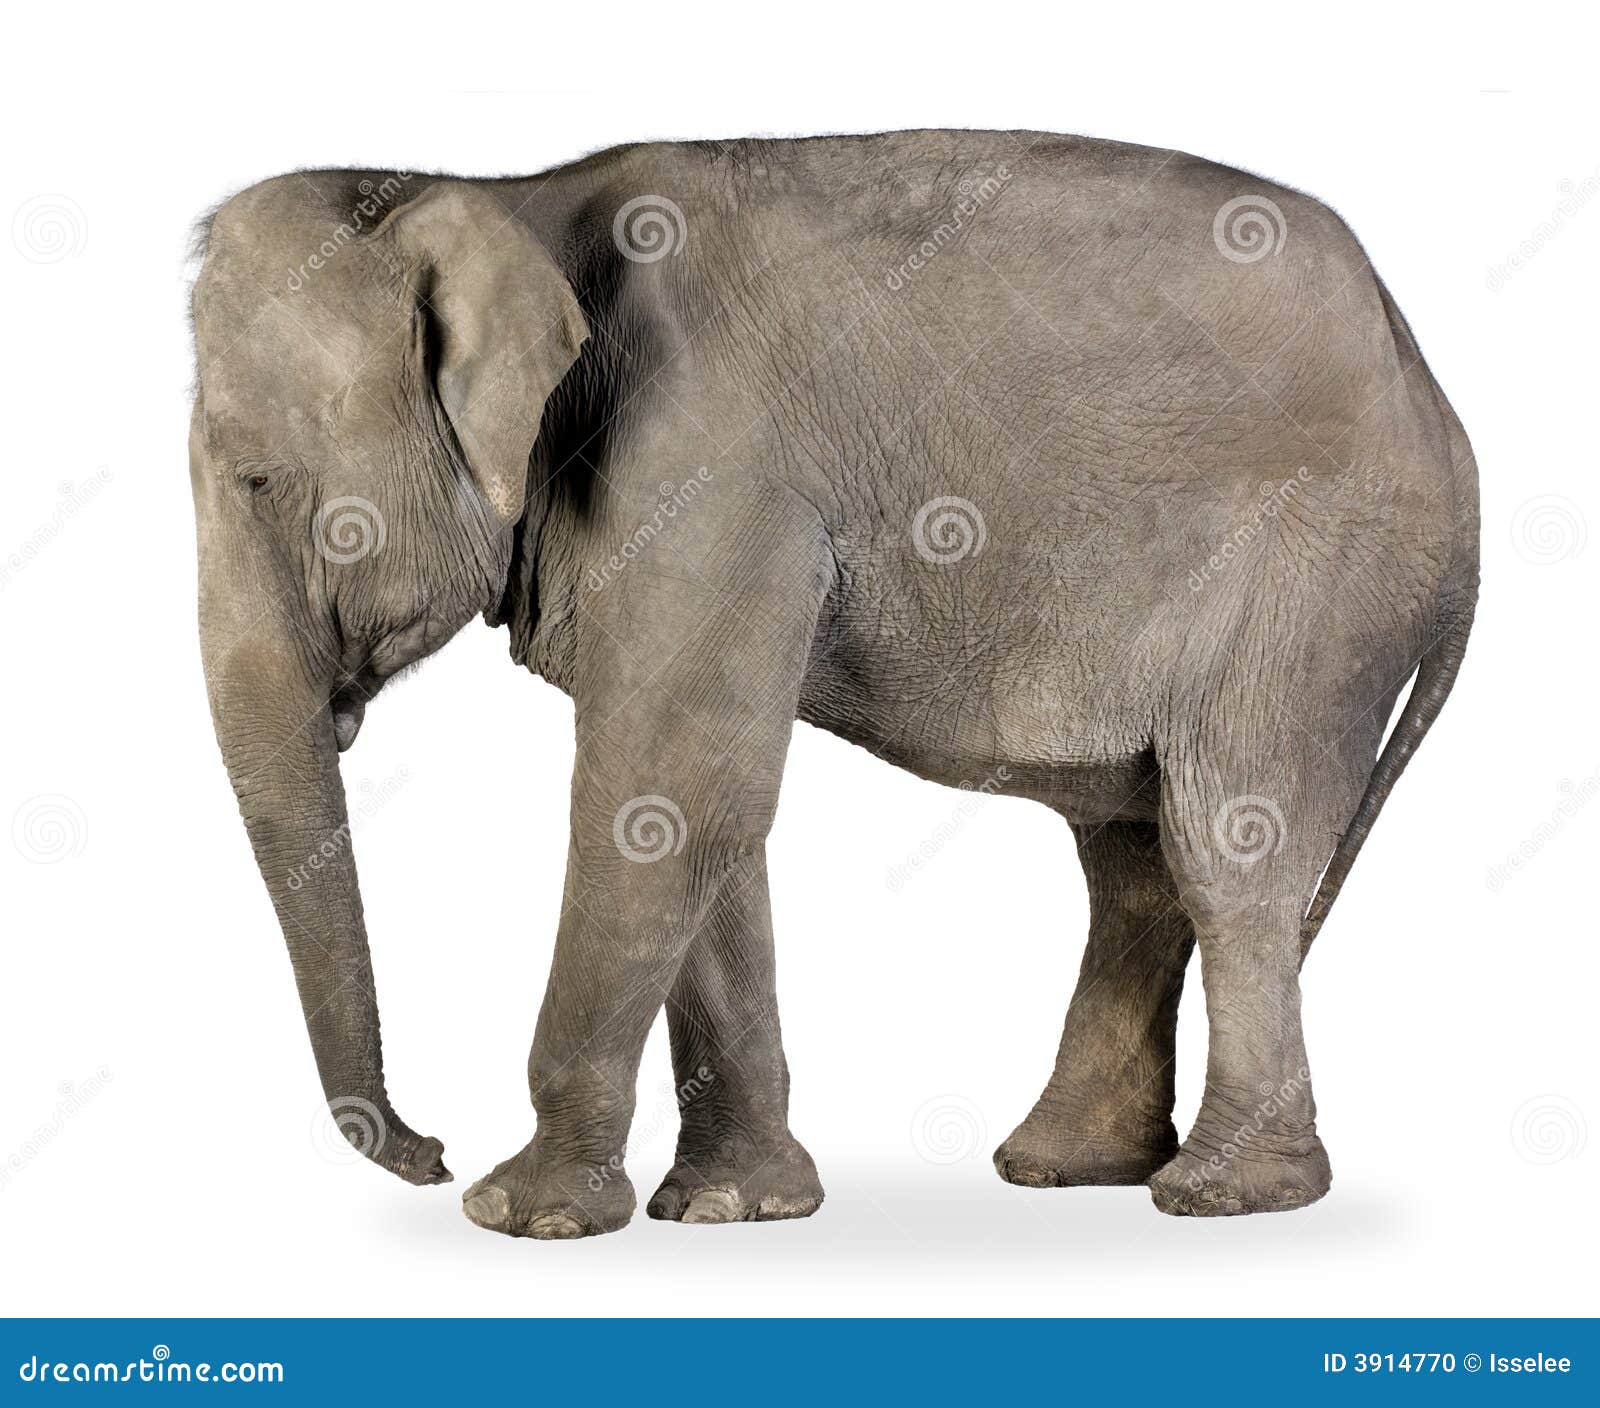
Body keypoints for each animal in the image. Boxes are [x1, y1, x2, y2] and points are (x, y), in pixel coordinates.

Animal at [188, 129, 1477, 1238]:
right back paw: (1066, 1166)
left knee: (1227, 847)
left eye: (257, 480)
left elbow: (666, 794)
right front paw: (734, 1207)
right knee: (1133, 856)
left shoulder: (711, 476)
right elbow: (707, 814)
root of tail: (1435, 399)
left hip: (1315, 584)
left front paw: (522, 1213)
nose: (429, 1148)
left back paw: (1218, 1194)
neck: (503, 199)